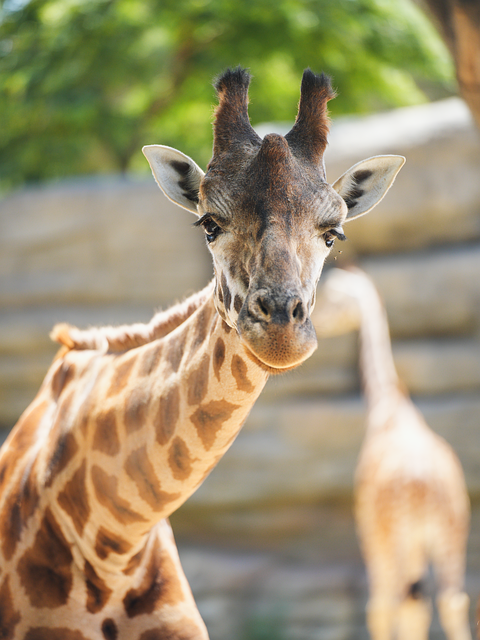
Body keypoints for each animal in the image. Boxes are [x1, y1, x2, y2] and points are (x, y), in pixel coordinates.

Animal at [314, 267, 471, 640]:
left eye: (329, 295)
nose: (316, 321)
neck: (387, 405)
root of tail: (427, 487)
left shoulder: (369, 525)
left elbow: (385, 607)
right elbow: (417, 609)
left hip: (392, 536)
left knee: (392, 601)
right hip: (450, 529)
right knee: (449, 600)